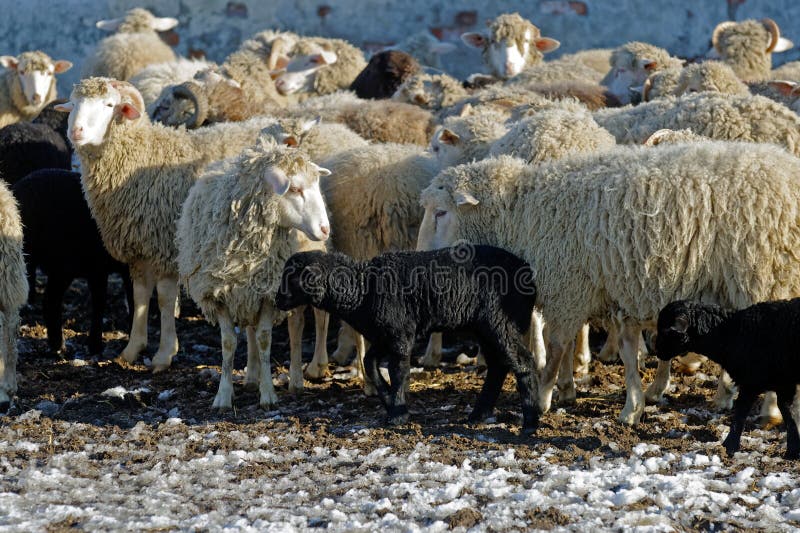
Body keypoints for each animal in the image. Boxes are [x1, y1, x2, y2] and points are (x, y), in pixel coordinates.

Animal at [58, 78, 282, 372]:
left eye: (108, 104)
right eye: (73, 104)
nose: (76, 131)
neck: (143, 156)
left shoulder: (166, 247)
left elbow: (164, 299)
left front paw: (164, 355)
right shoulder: (140, 249)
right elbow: (140, 296)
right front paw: (132, 349)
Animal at [177, 137, 330, 408]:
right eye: (295, 189)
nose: (325, 229)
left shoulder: (269, 294)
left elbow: (264, 340)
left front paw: (268, 394)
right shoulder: (219, 294)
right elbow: (229, 344)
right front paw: (223, 395)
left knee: (298, 325)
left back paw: (297, 380)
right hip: (247, 293)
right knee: (250, 329)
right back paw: (251, 377)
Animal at [274, 246, 540, 435]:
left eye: (291, 277)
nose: (276, 300)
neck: (363, 289)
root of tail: (528, 274)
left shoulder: (401, 335)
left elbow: (399, 370)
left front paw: (397, 414)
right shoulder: (386, 336)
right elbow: (370, 363)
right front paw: (387, 399)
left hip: (500, 322)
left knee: (523, 361)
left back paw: (530, 422)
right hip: (484, 328)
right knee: (498, 365)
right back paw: (479, 414)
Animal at [417, 140, 800, 426]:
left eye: (441, 212)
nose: (418, 257)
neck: (522, 213)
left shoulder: (567, 285)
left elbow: (556, 347)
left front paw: (542, 397)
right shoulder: (615, 290)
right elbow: (626, 353)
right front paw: (626, 405)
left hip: (760, 276)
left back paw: (769, 411)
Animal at [656, 298, 800, 459]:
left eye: (666, 331)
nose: (656, 350)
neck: (729, 332)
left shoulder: (751, 380)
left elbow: (741, 412)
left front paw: (728, 447)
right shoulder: (783, 382)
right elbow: (787, 410)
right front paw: (793, 450)